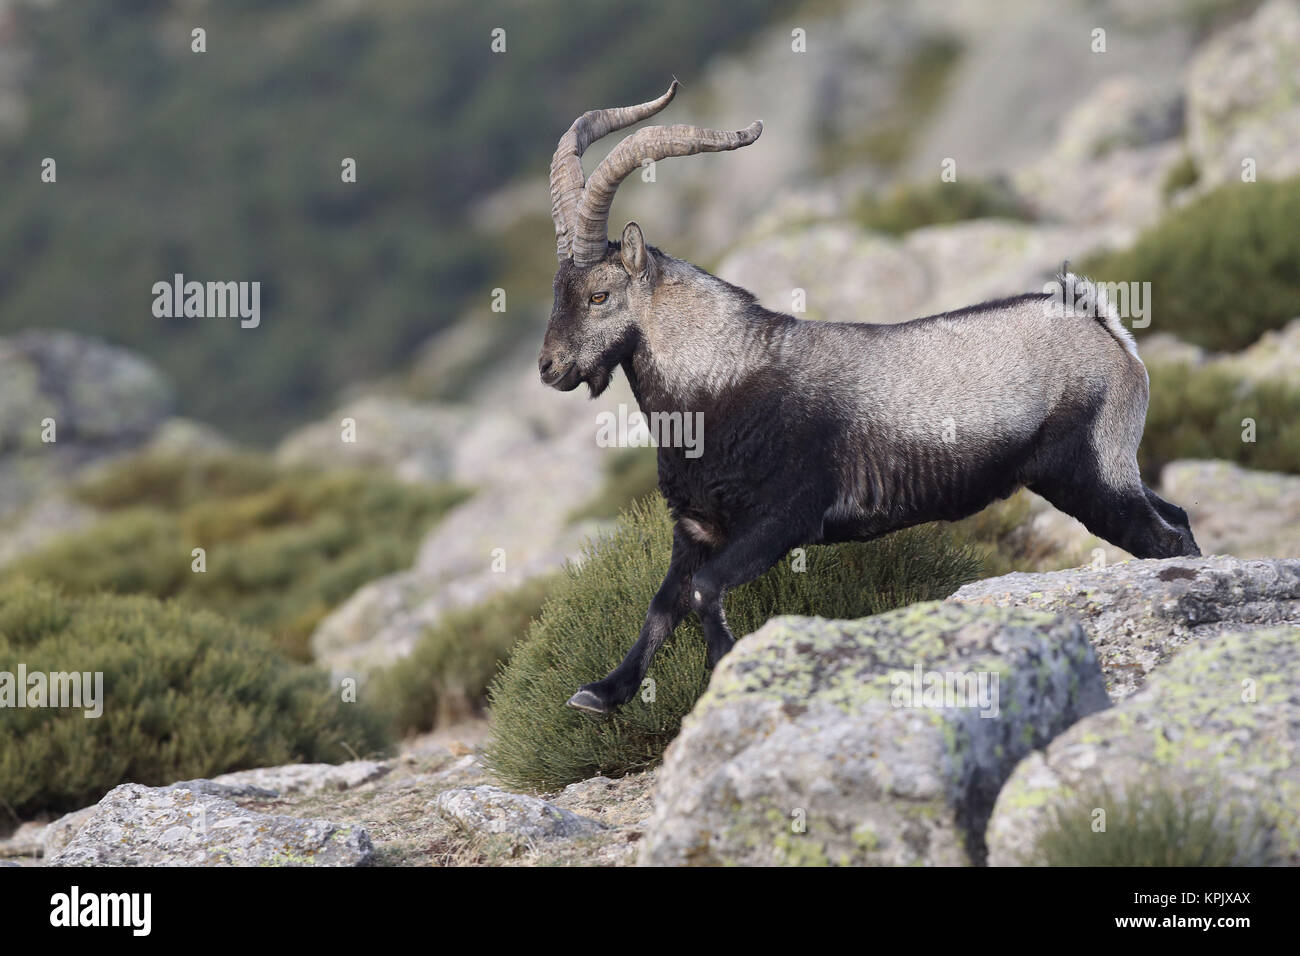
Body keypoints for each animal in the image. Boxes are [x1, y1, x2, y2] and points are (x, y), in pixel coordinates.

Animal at [538, 81, 1201, 715]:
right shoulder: (697, 527)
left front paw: (726, 663)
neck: (717, 380)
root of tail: (1101, 324)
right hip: (1104, 469)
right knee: (1178, 517)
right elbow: (661, 604)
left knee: (1162, 540)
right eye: (559, 290)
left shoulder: (783, 517)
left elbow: (703, 591)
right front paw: (601, 692)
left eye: (598, 295)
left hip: (1088, 472)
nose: (550, 367)